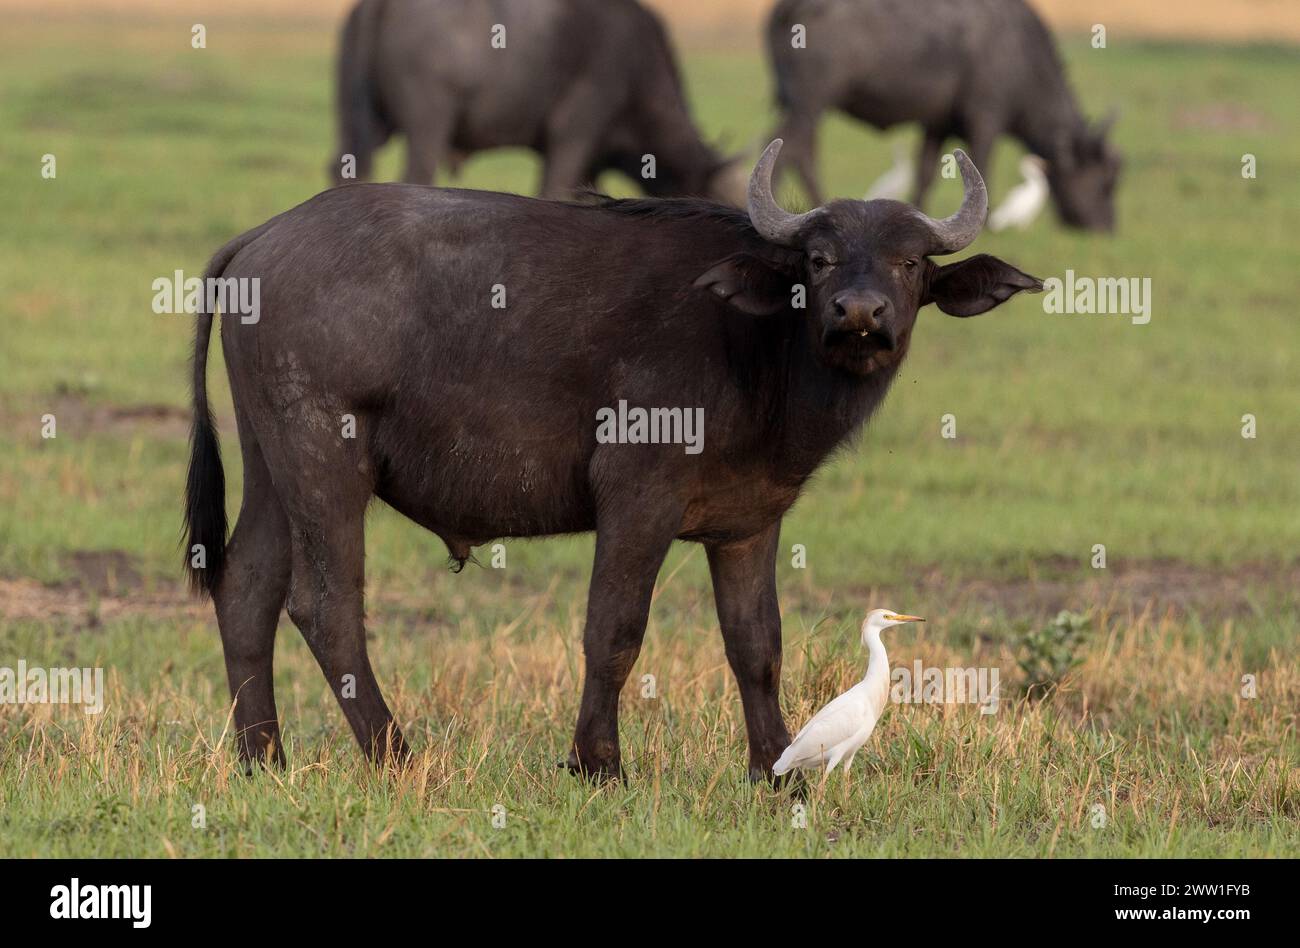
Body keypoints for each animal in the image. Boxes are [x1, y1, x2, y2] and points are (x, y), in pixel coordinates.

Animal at [185, 141, 1042, 781]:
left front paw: (776, 769)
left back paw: (264, 759)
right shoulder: (637, 500)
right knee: (325, 605)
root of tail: (261, 241)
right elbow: (615, 629)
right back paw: (396, 754)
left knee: (247, 590)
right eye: (821, 258)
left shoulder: (747, 523)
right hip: (325, 459)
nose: (859, 316)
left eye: (909, 263)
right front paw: (598, 762)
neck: (754, 344)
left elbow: (757, 644)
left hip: (271, 463)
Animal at [332, 0, 746, 203]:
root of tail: (380, 5)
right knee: (416, 174)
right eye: (716, 194)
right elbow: (553, 189)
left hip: (365, 124)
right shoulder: (574, 134)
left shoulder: (591, 159)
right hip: (429, 124)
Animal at [767, 0, 1121, 230]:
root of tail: (789, 8)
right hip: (810, 104)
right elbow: (983, 165)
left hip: (796, 105)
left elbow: (925, 173)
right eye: (1104, 181)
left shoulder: (936, 125)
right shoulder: (986, 119)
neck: (1021, 53)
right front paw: (987, 224)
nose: (1107, 226)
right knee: (794, 150)